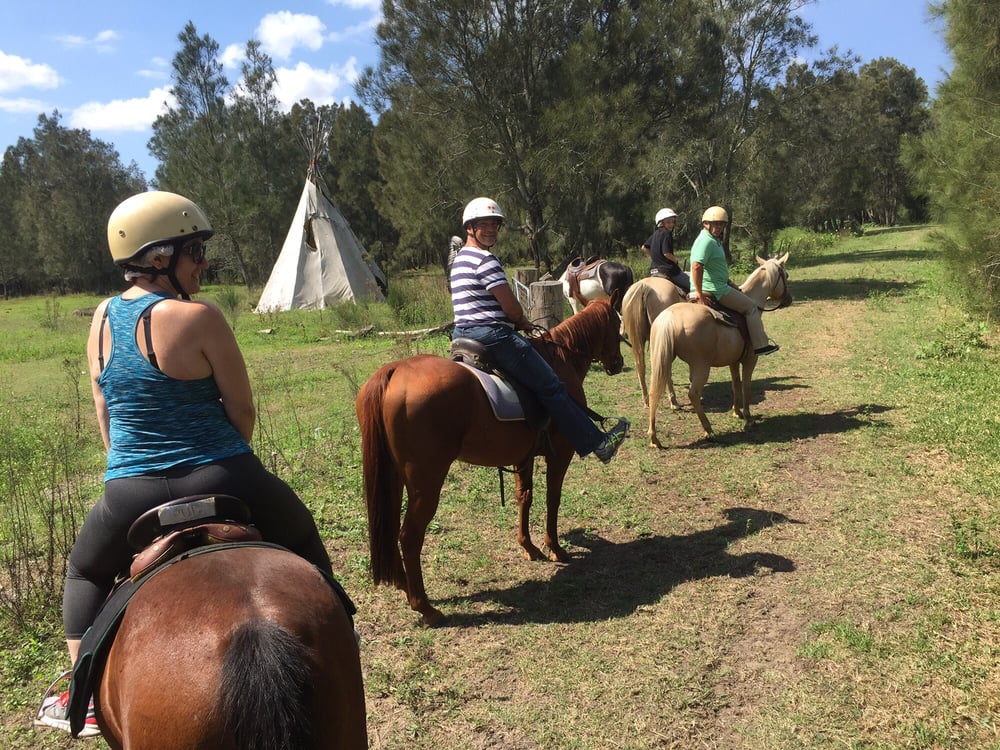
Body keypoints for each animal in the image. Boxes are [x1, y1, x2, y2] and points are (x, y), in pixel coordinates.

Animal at [355, 299, 625, 626]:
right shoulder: (560, 454)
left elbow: (525, 497)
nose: (618, 363)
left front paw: (529, 547)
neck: (562, 358)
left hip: (393, 478)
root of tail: (393, 371)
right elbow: (553, 499)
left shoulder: (524, 457)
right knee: (409, 536)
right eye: (616, 323)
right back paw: (425, 606)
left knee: (392, 530)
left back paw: (405, 587)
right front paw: (555, 548)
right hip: (425, 483)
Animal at [646, 253, 791, 446]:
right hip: (701, 366)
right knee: (693, 394)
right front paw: (748, 418)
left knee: (653, 392)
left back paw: (654, 438)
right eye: (786, 275)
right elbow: (746, 386)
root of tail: (668, 317)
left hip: (662, 362)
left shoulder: (733, 361)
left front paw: (736, 412)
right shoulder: (750, 360)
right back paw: (708, 429)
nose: (788, 299)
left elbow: (735, 384)